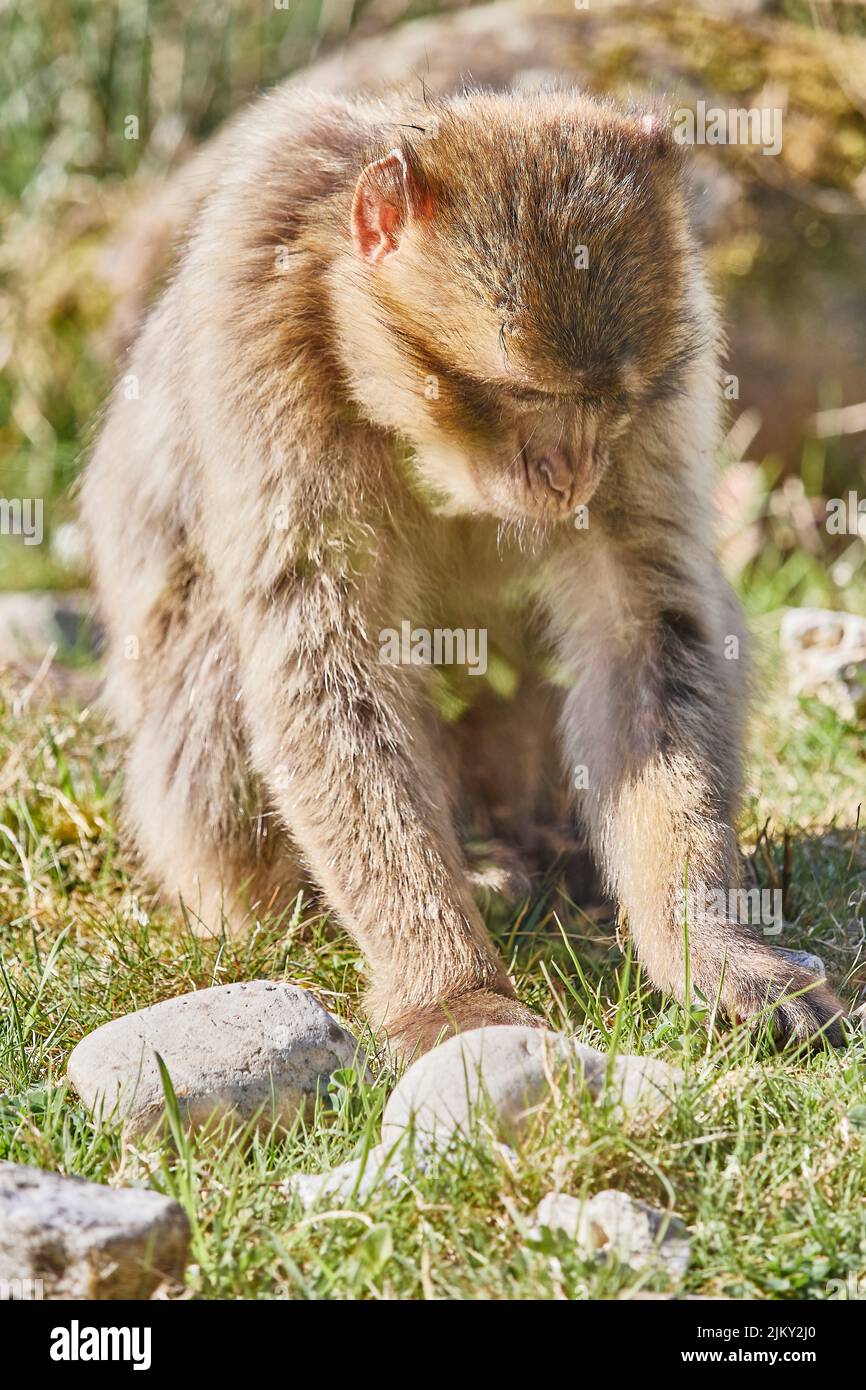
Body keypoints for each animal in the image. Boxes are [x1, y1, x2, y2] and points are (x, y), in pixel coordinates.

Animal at [83, 84, 846, 1056]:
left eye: (607, 400)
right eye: (526, 394)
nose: (569, 472)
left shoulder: (673, 362)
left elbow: (644, 619)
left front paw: (712, 947)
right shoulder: (257, 320)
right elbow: (326, 656)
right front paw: (452, 994)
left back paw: (552, 860)